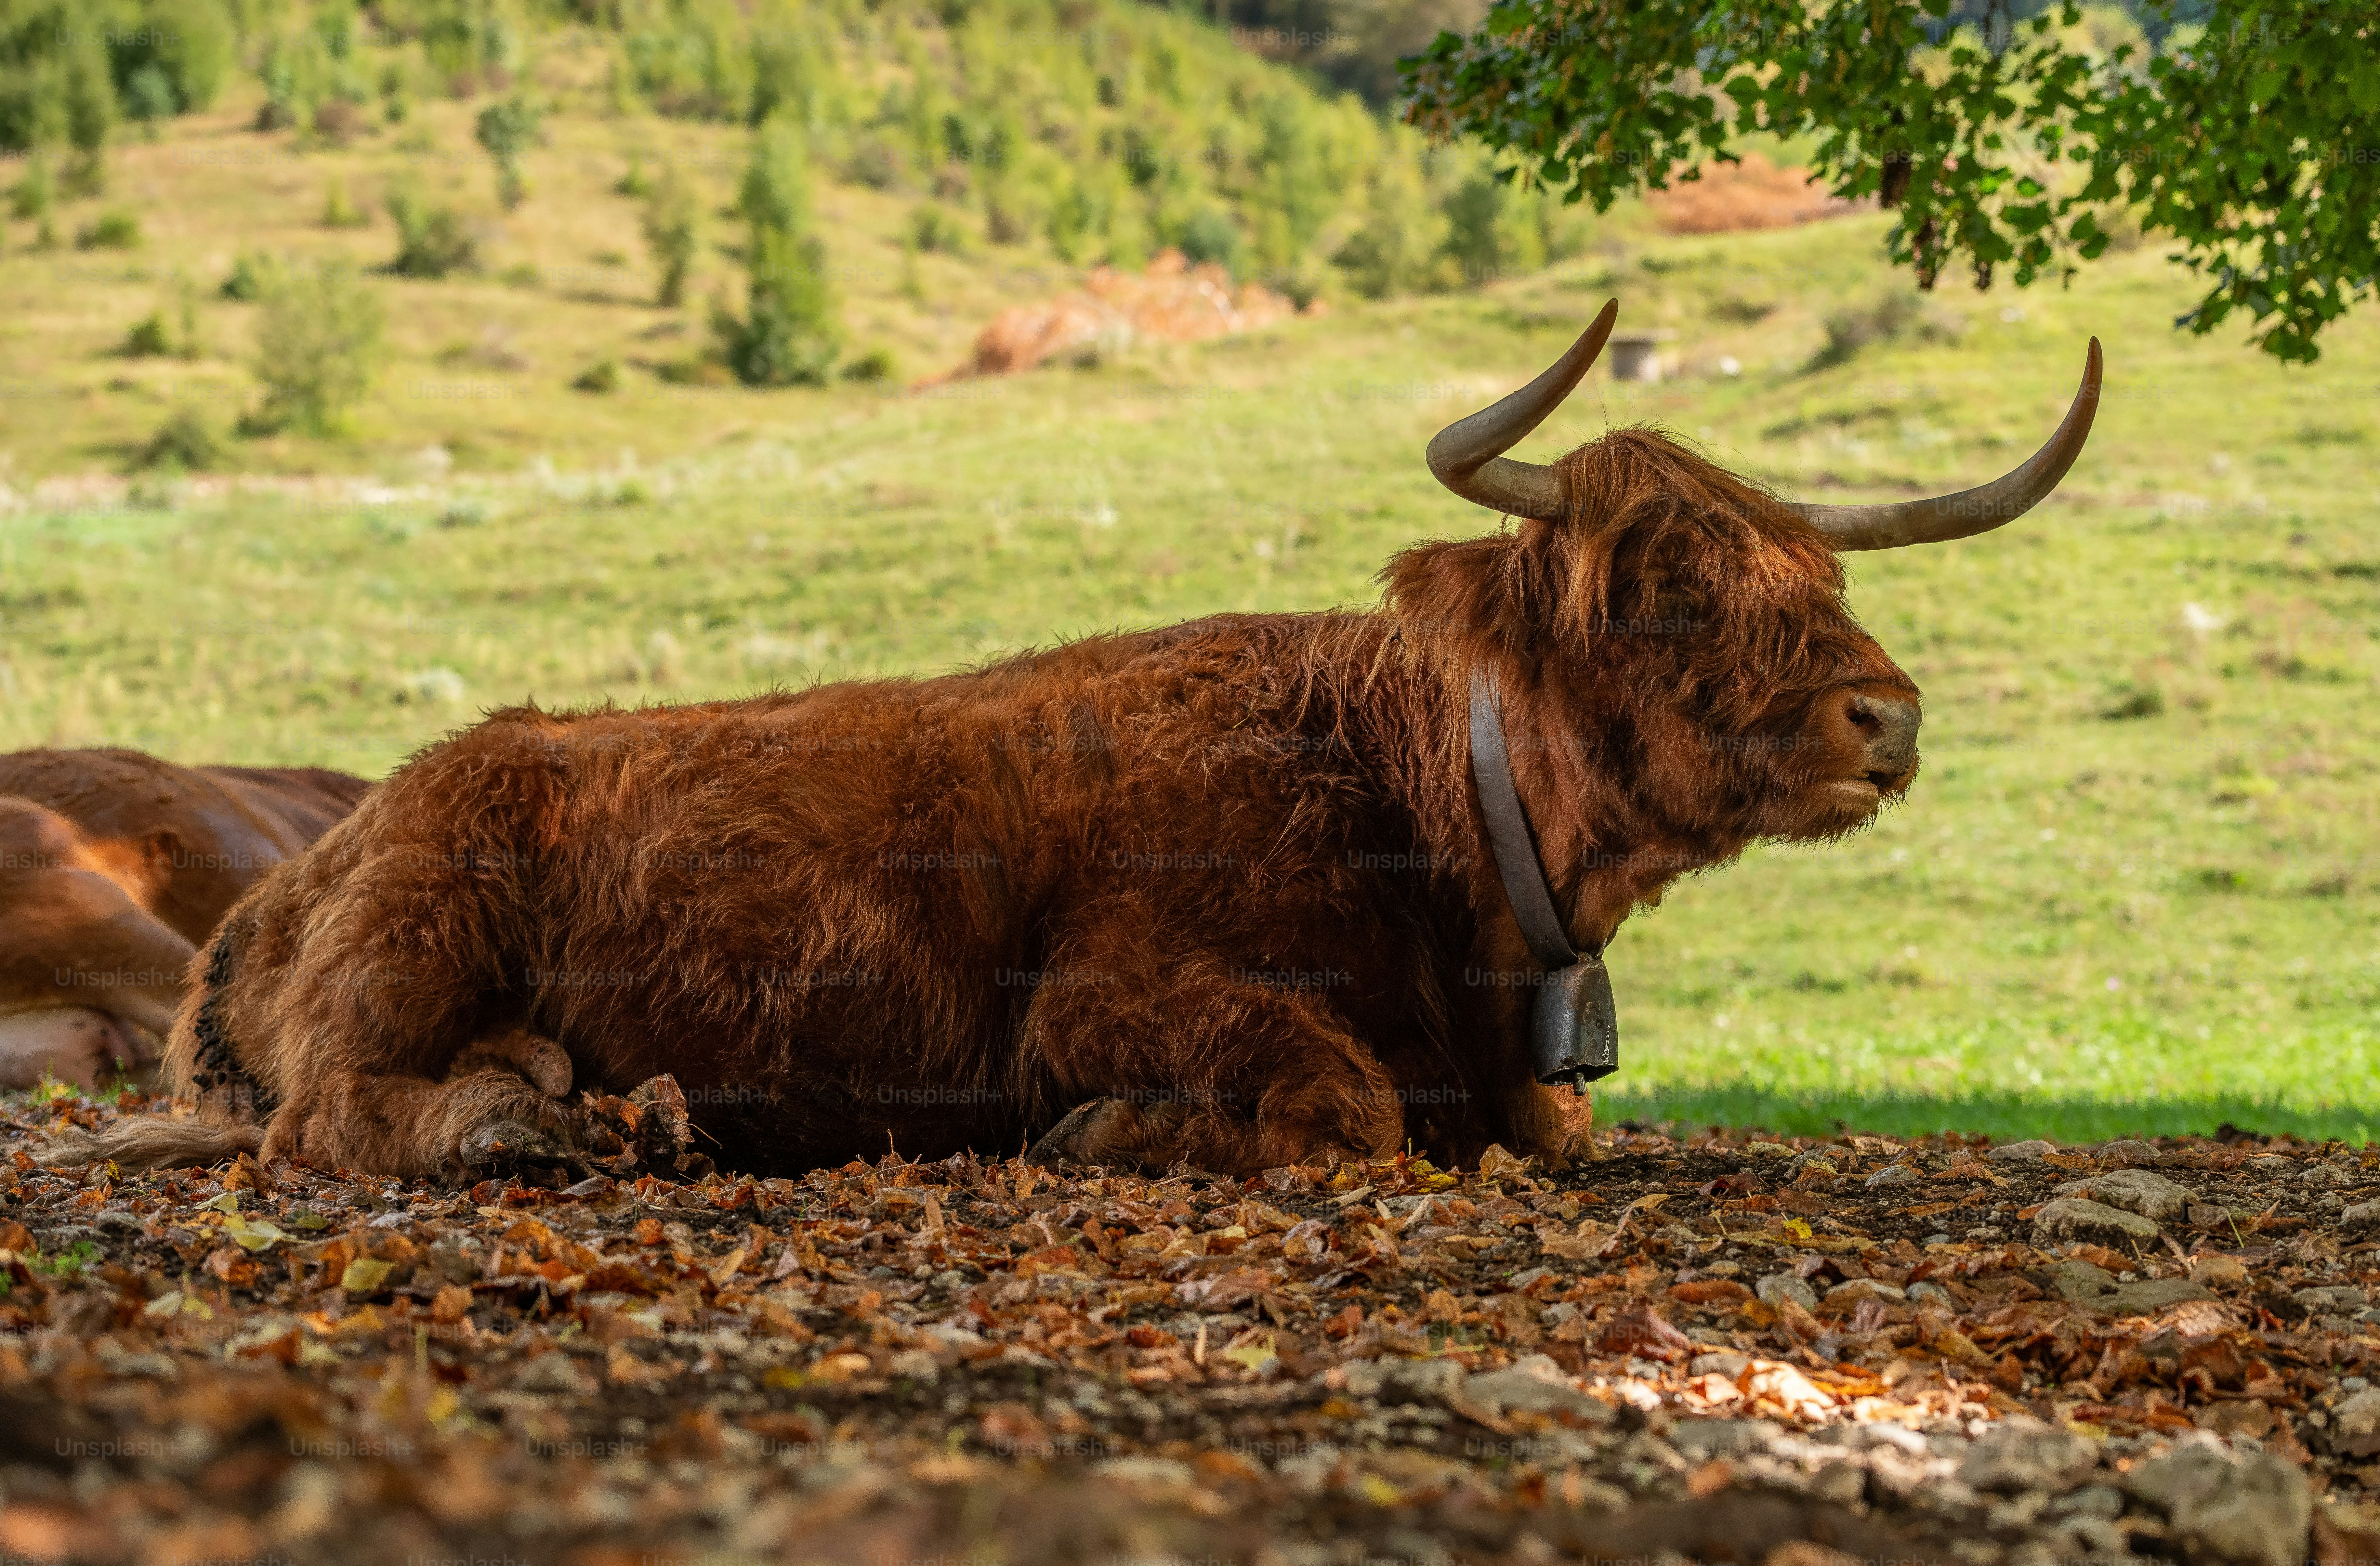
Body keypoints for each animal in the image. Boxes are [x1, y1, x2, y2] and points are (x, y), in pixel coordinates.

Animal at [47, 302, 2101, 1181]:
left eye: (1811, 571)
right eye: (1661, 589)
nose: (1885, 715)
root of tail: (324, 850)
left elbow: (1539, 1120)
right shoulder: (1118, 988)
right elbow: (1337, 1105)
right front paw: (1121, 1133)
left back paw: (610, 1105)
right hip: (418, 934)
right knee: (343, 1107)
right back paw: (522, 1124)